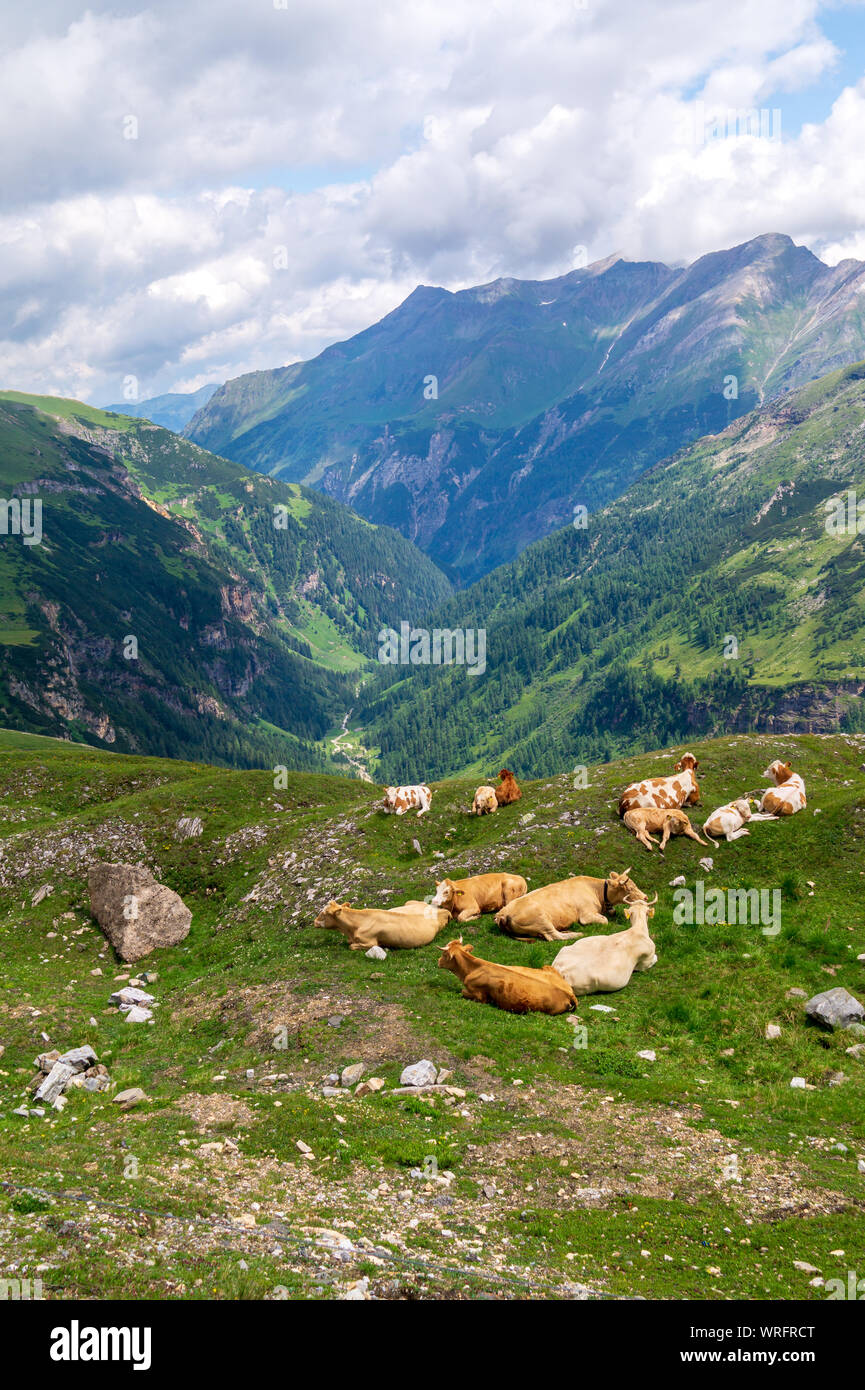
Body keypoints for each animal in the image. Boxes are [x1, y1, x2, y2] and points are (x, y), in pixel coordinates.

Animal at [437, 939, 577, 1015]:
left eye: (444, 954)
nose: (438, 961)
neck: (474, 969)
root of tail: (569, 993)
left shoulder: (480, 997)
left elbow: (462, 991)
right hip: (547, 967)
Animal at [494, 868, 647, 941]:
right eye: (629, 889)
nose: (645, 897)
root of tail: (502, 914)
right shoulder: (586, 915)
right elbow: (605, 920)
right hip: (542, 920)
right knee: (553, 936)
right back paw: (577, 933)